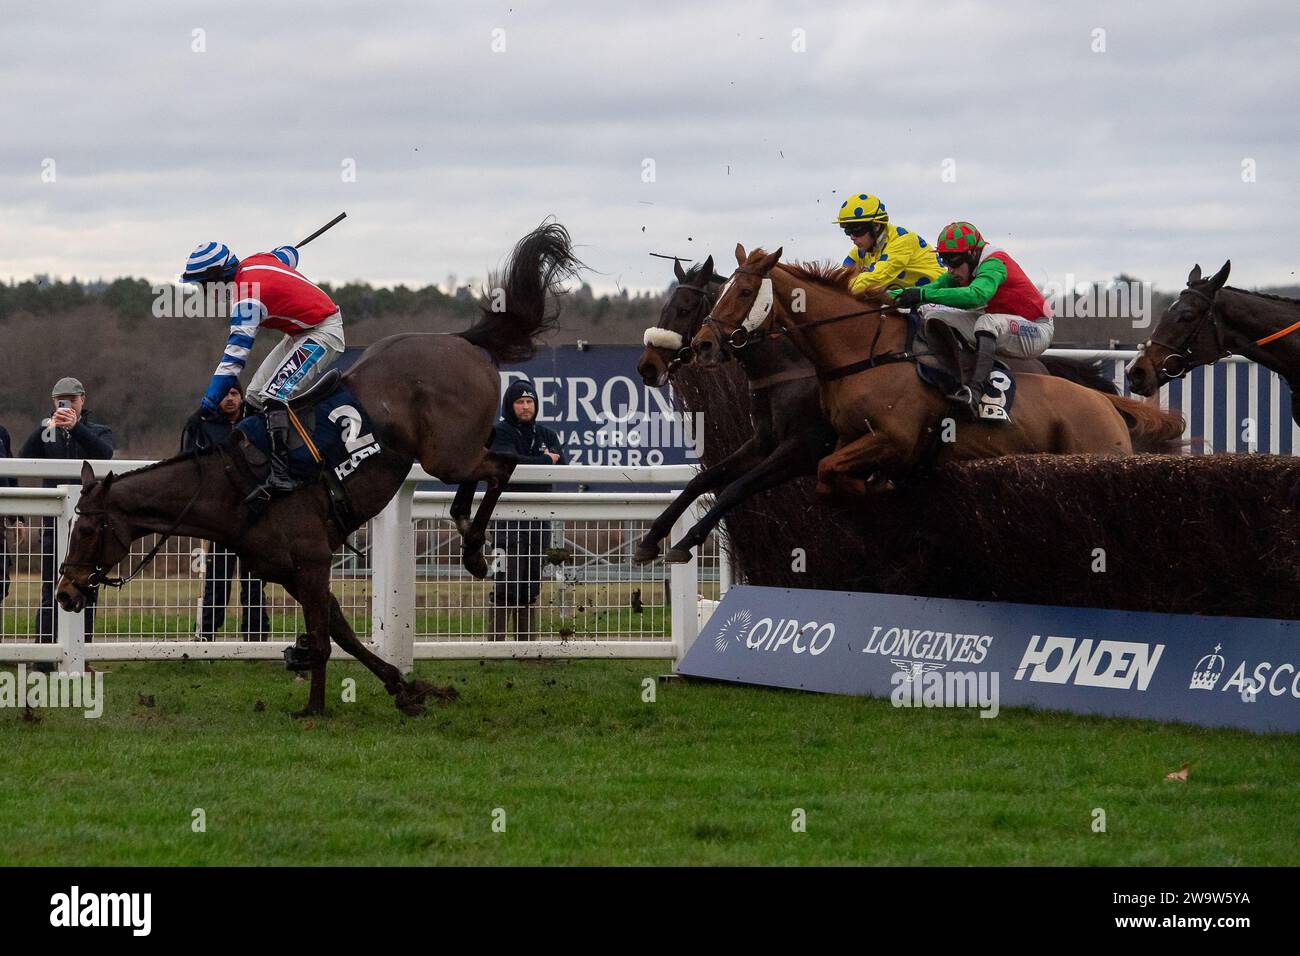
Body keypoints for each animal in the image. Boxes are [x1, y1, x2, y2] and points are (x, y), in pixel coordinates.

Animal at [56, 222, 583, 718]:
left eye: (88, 531)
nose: (65, 593)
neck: (232, 484)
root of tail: (462, 340)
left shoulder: (311, 560)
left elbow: (329, 640)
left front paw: (314, 706)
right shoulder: (292, 570)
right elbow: (343, 634)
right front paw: (404, 688)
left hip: (444, 451)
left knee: (501, 465)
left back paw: (472, 548)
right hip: (447, 449)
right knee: (489, 468)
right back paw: (465, 533)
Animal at [632, 257, 835, 564]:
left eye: (684, 310)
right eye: (664, 308)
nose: (647, 367)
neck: (790, 368)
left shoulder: (802, 449)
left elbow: (735, 489)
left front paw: (686, 541)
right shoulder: (762, 444)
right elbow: (701, 480)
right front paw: (651, 538)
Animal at [691, 245, 1184, 498]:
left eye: (745, 292)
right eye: (723, 290)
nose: (702, 343)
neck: (866, 354)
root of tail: (1105, 401)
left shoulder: (893, 438)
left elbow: (831, 470)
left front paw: (878, 484)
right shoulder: (841, 439)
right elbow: (826, 476)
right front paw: (872, 483)